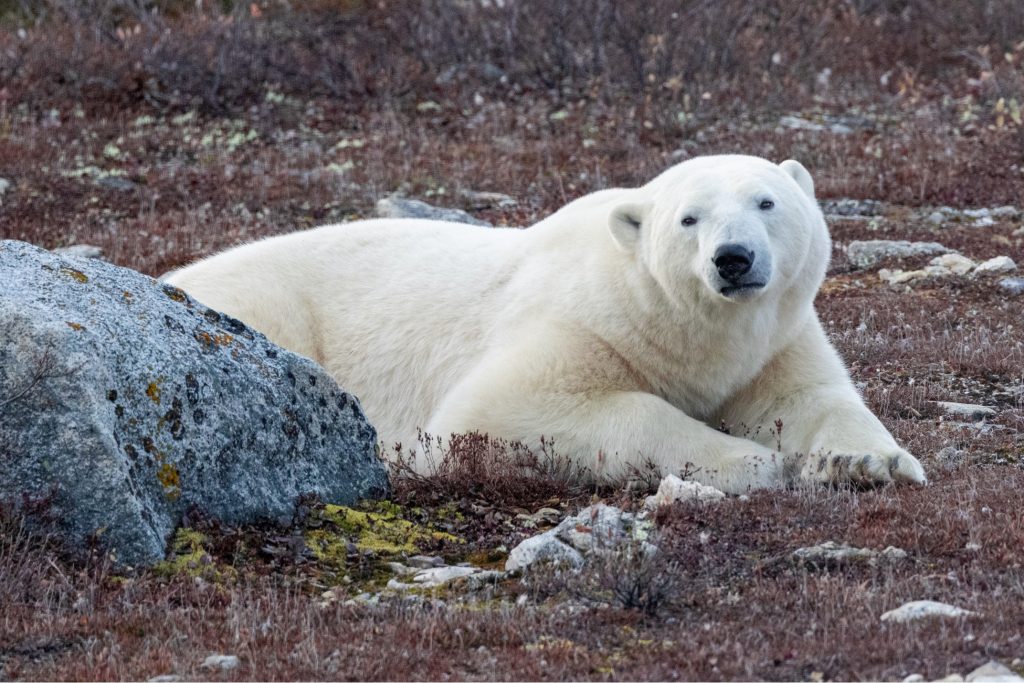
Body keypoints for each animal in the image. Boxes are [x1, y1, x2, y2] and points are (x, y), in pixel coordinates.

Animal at [165, 154, 926, 493]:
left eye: (767, 201)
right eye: (689, 217)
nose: (733, 258)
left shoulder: (775, 340)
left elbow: (810, 396)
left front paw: (869, 460)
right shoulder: (582, 323)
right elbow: (505, 409)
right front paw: (749, 460)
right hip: (262, 311)